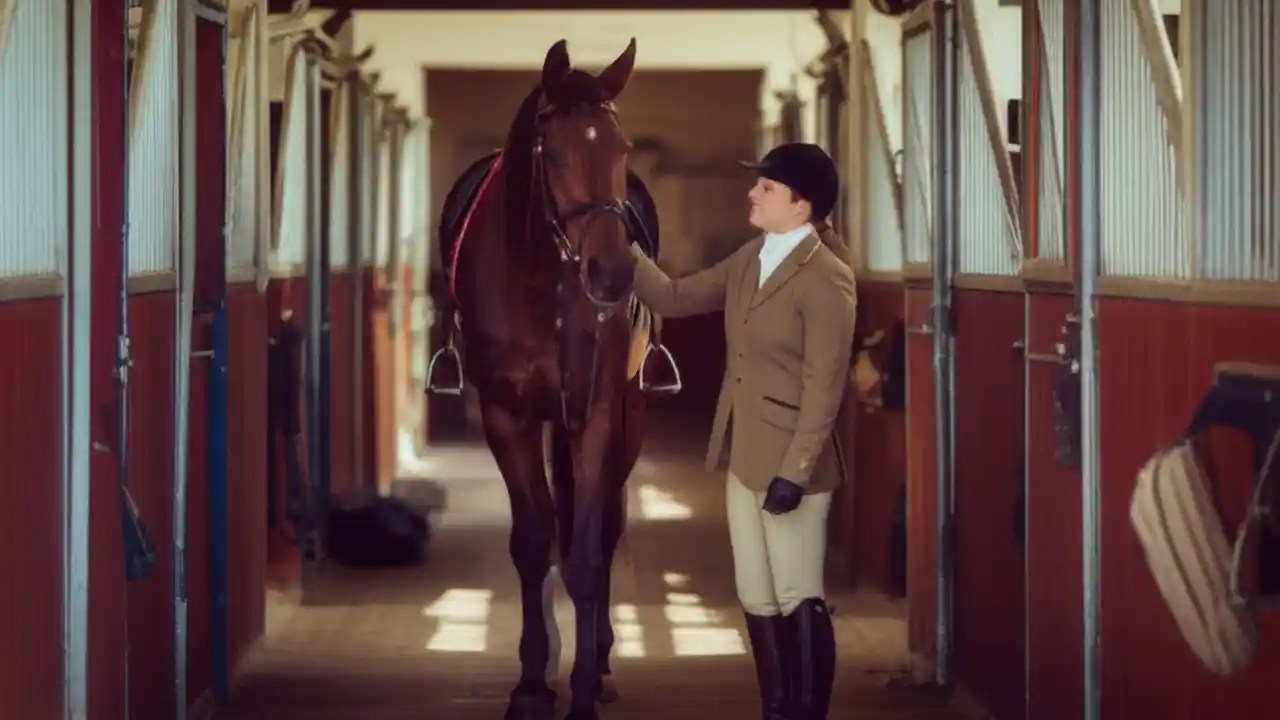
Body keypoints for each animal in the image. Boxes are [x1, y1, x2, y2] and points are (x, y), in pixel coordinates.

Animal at [428, 38, 671, 720]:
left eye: (621, 149)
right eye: (554, 151)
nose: (613, 275)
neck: (541, 279)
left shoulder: (594, 409)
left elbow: (585, 550)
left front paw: (584, 689)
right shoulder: (505, 416)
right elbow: (534, 540)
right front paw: (533, 683)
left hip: (626, 415)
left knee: (606, 524)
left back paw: (604, 657)